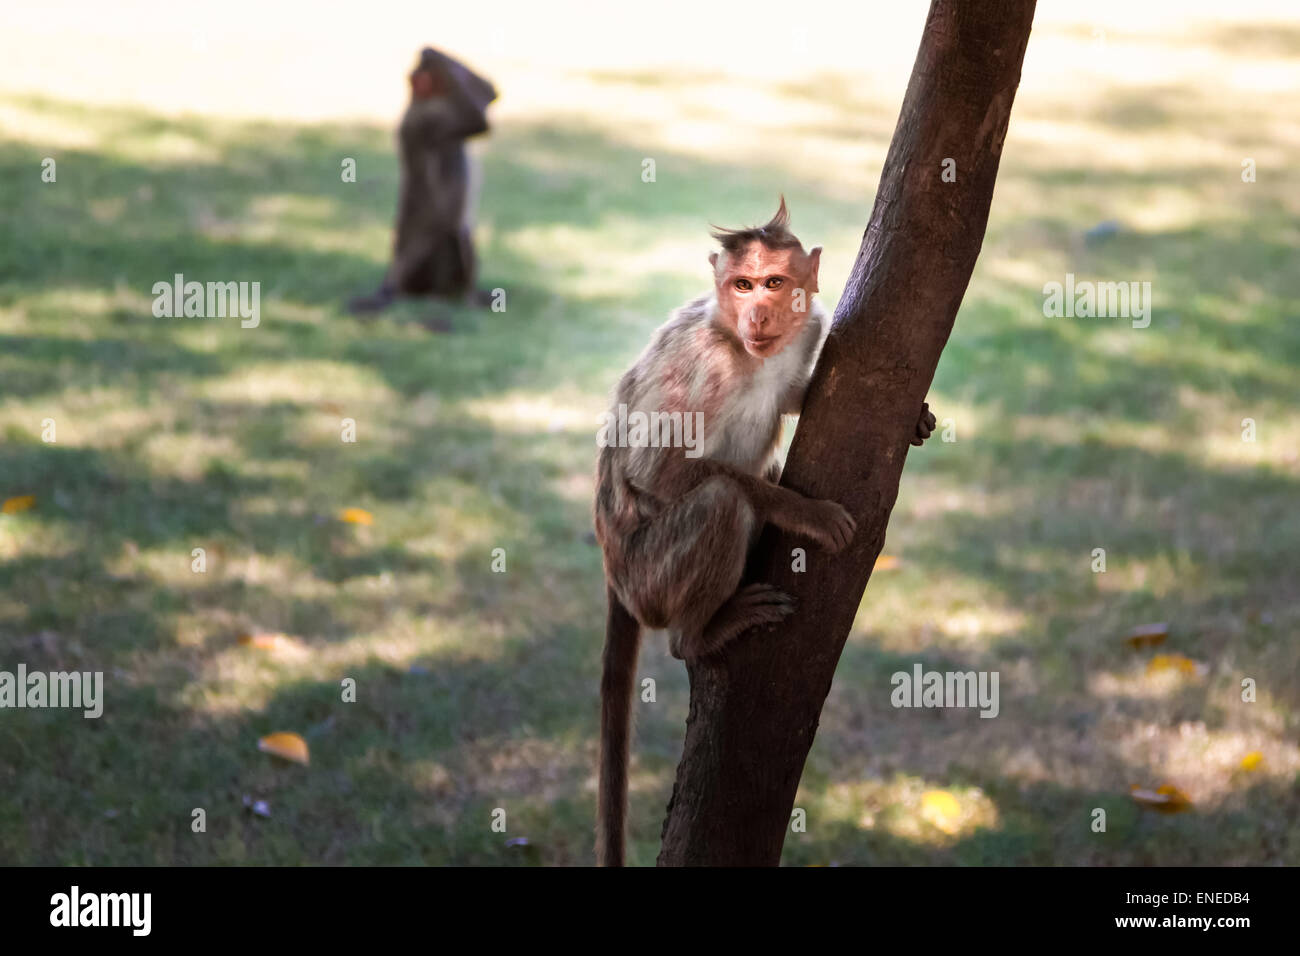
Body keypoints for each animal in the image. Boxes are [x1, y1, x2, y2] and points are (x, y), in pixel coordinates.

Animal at [348, 47, 496, 314]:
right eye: (423, 76)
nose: (418, 67)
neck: (417, 102)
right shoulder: (432, 119)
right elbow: (478, 121)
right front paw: (433, 54)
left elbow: (489, 95)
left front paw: (432, 53)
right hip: (424, 255)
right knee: (454, 239)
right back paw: (459, 297)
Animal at [592, 199, 937, 866]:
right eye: (741, 285)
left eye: (774, 282)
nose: (756, 312)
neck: (746, 349)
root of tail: (614, 574)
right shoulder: (706, 367)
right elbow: (655, 470)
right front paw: (804, 513)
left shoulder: (810, 329)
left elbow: (794, 396)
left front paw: (920, 419)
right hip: (650, 575)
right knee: (722, 500)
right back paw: (697, 636)